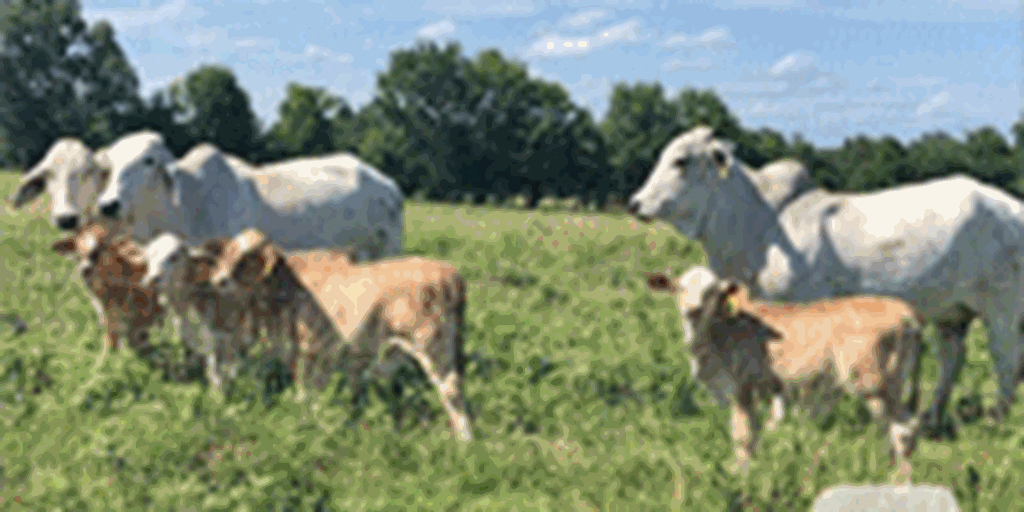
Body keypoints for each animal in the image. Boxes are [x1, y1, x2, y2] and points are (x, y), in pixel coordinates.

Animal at [206, 228, 474, 442]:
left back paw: (465, 440)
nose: (218, 280)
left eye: (248, 259)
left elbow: (305, 392)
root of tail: (451, 273)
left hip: (433, 347)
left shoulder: (309, 349)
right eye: (228, 253)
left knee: (450, 389)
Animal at [628, 125, 1024, 436]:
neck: (761, 225)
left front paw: (799, 420)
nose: (635, 203)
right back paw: (931, 418)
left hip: (1002, 309)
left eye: (681, 160)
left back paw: (995, 420)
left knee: (1006, 361)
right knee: (951, 361)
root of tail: (1011, 206)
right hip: (951, 314)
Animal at [681, 267, 924, 474]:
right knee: (907, 427)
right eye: (680, 288)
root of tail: (905, 312)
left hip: (874, 385)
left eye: (711, 291)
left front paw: (740, 474)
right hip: (893, 384)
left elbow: (743, 436)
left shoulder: (742, 388)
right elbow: (757, 431)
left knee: (902, 429)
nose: (691, 311)